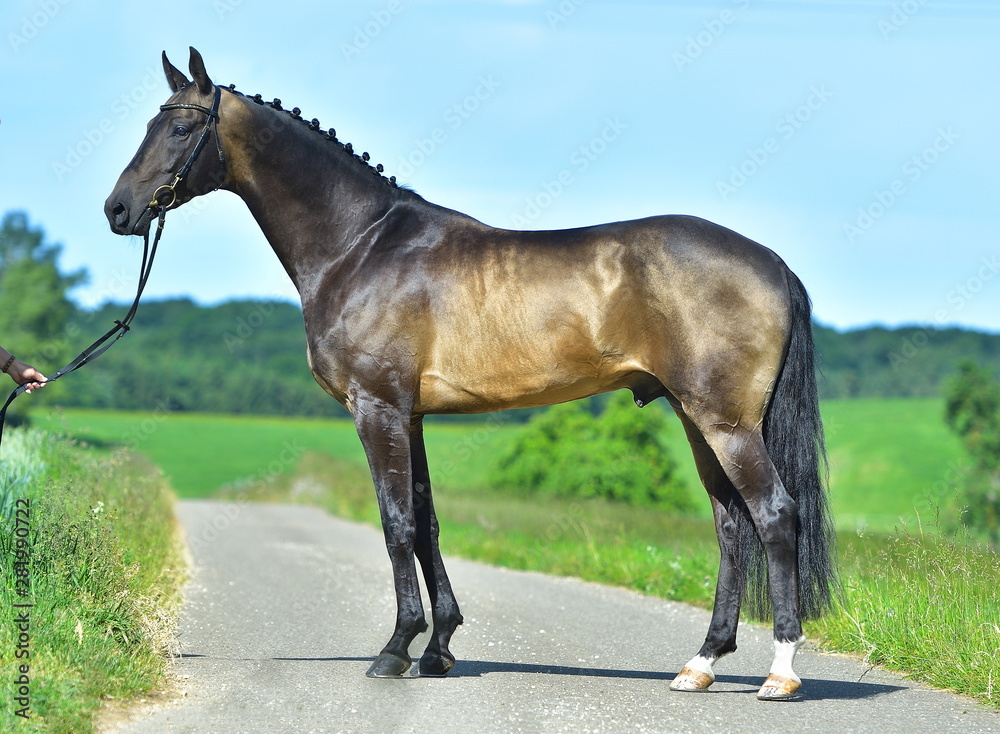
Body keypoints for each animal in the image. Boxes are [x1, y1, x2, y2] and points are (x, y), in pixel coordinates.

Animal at [105, 47, 836, 701]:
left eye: (179, 128)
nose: (117, 210)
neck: (361, 245)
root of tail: (771, 261)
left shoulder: (378, 409)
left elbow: (396, 523)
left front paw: (396, 649)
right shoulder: (412, 416)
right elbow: (426, 523)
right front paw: (439, 649)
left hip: (725, 421)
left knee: (774, 515)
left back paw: (780, 673)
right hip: (695, 416)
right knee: (731, 526)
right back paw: (700, 664)